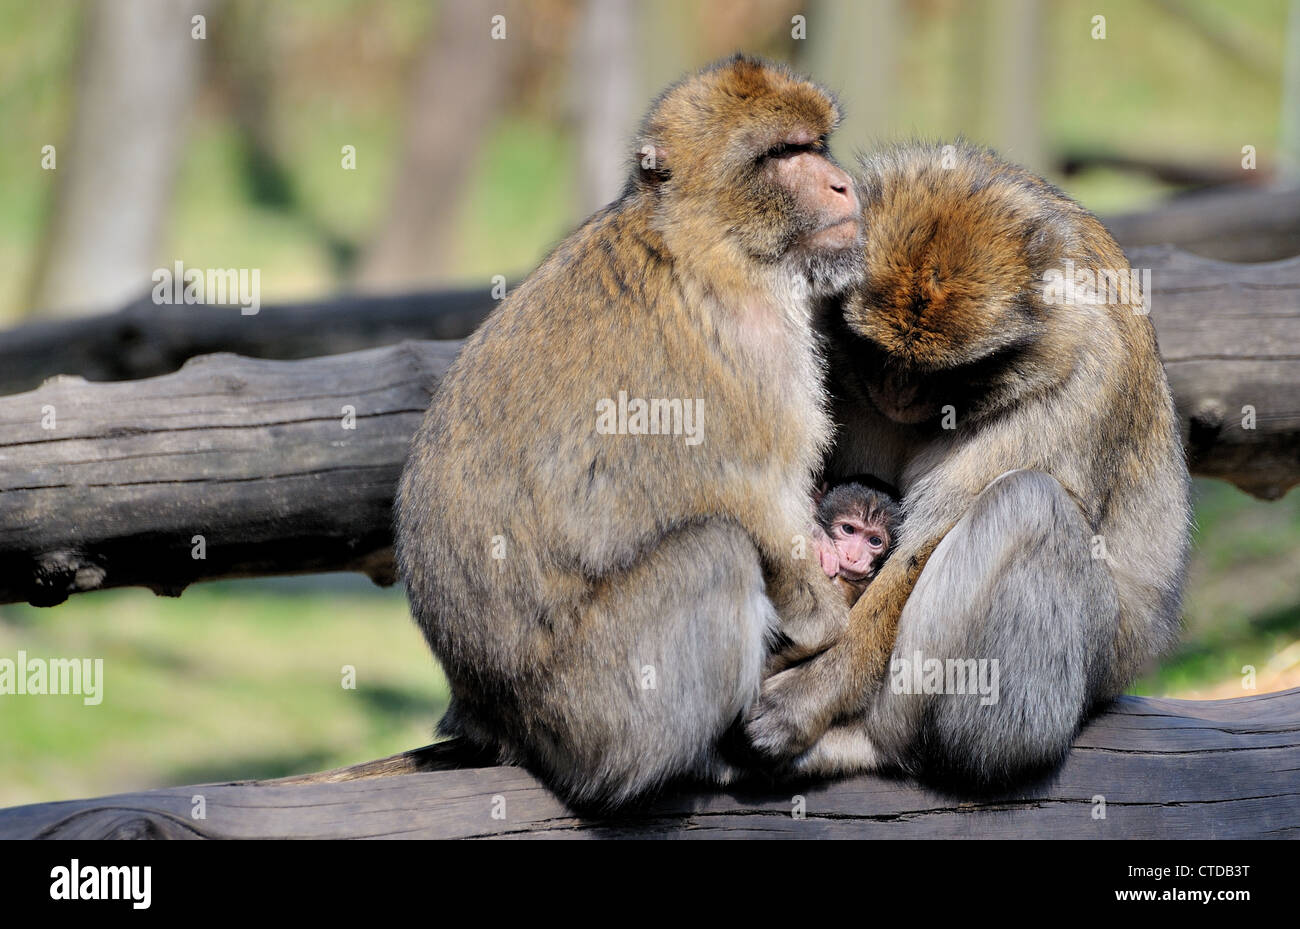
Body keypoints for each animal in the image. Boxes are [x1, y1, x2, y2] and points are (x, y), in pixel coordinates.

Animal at [395, 55, 864, 810]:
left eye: (816, 144)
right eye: (785, 153)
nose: (841, 183)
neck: (708, 239)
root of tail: (489, 713)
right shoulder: (757, 339)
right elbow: (759, 494)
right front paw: (822, 616)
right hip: (597, 709)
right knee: (714, 553)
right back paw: (694, 763)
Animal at [745, 140, 1191, 790]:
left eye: (938, 372)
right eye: (880, 352)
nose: (899, 390)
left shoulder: (1079, 373)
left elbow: (929, 541)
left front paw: (811, 694)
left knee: (1028, 505)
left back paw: (874, 742)